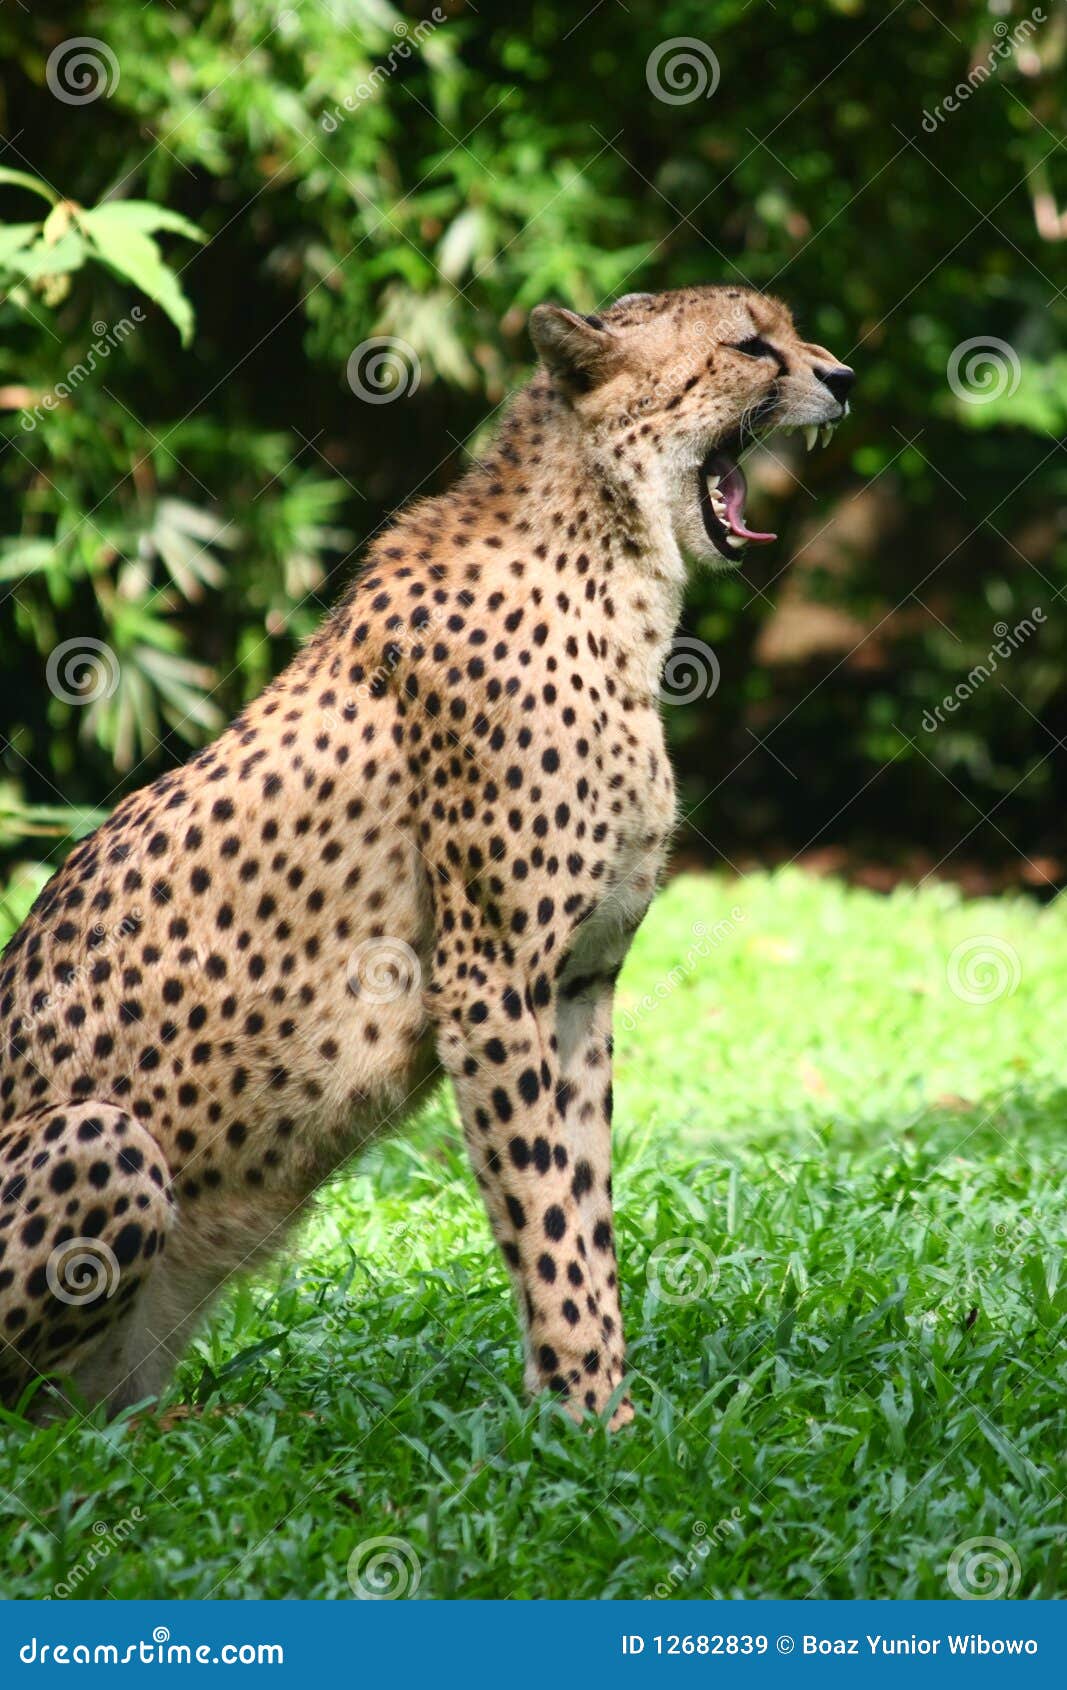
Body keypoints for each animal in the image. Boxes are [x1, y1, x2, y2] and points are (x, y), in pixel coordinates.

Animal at [0, 284, 852, 1425]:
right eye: (750, 345)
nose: (840, 378)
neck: (613, 564)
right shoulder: (486, 976)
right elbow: (542, 1207)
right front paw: (588, 1413)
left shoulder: (579, 983)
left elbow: (582, 1204)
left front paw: (593, 1401)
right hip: (104, 1134)